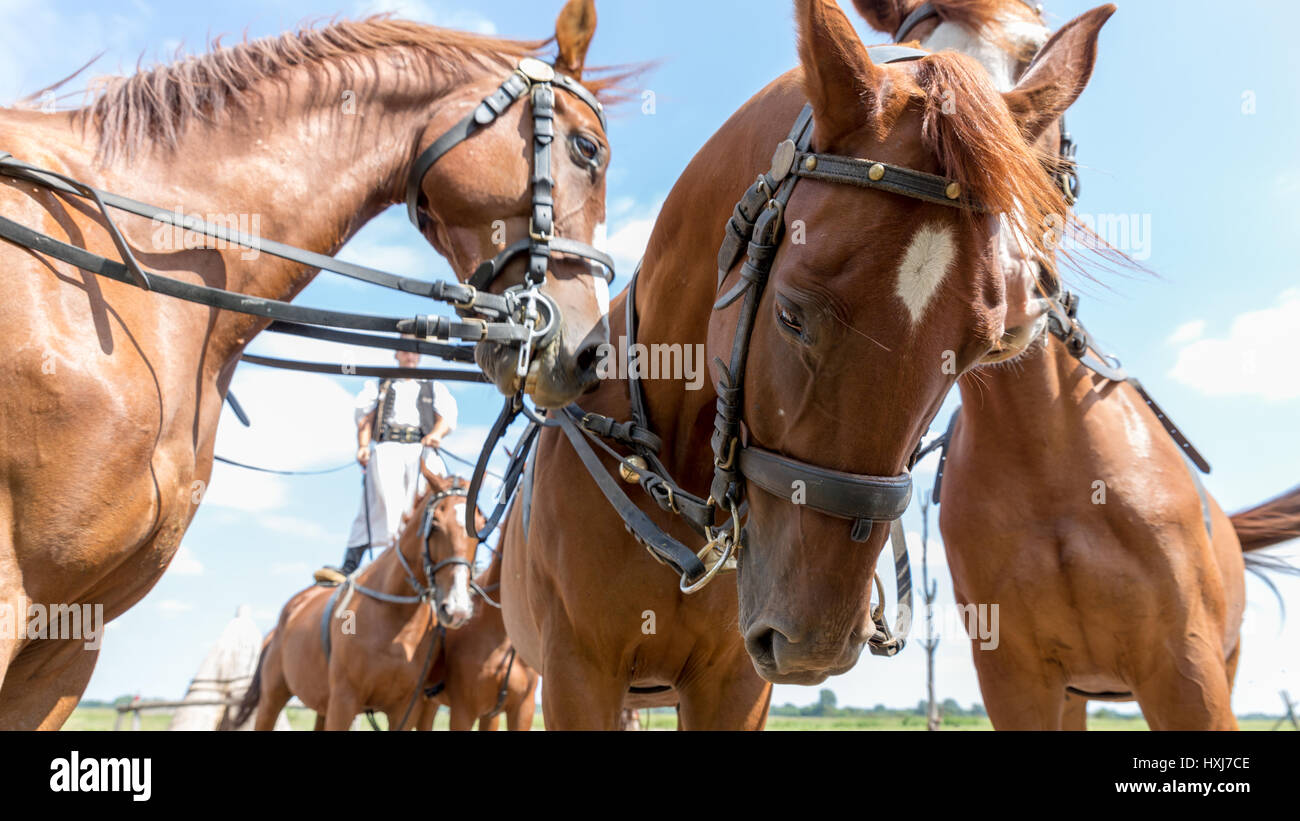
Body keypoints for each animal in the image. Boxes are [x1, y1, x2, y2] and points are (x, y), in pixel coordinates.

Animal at [235, 471, 480, 731]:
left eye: (480, 528)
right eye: (435, 525)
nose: (457, 608)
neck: (395, 620)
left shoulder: (404, 709)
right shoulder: (343, 702)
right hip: (272, 698)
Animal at [855, 0, 1300, 729]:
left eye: (1036, 57)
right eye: (910, 56)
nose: (997, 281)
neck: (1052, 456)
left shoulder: (1188, 668)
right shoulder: (1018, 679)